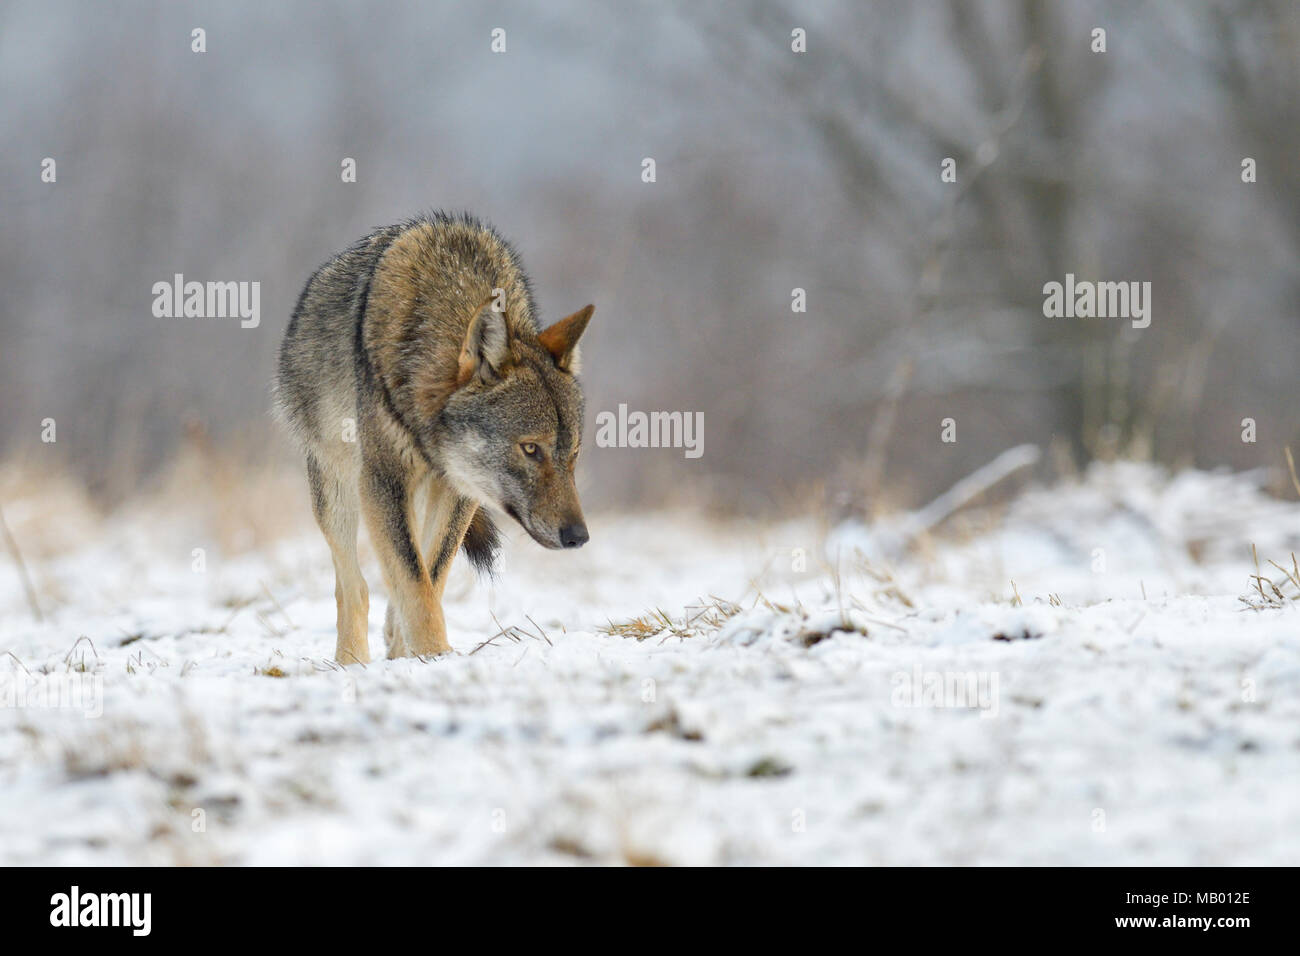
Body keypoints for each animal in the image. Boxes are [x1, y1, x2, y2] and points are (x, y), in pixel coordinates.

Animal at [275, 212, 593, 664]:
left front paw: (417, 655)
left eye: (573, 453)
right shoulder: (383, 480)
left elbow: (431, 571)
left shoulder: (458, 490)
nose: (578, 537)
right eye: (531, 449)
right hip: (335, 488)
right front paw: (435, 656)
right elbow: (413, 578)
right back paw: (351, 662)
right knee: (353, 588)